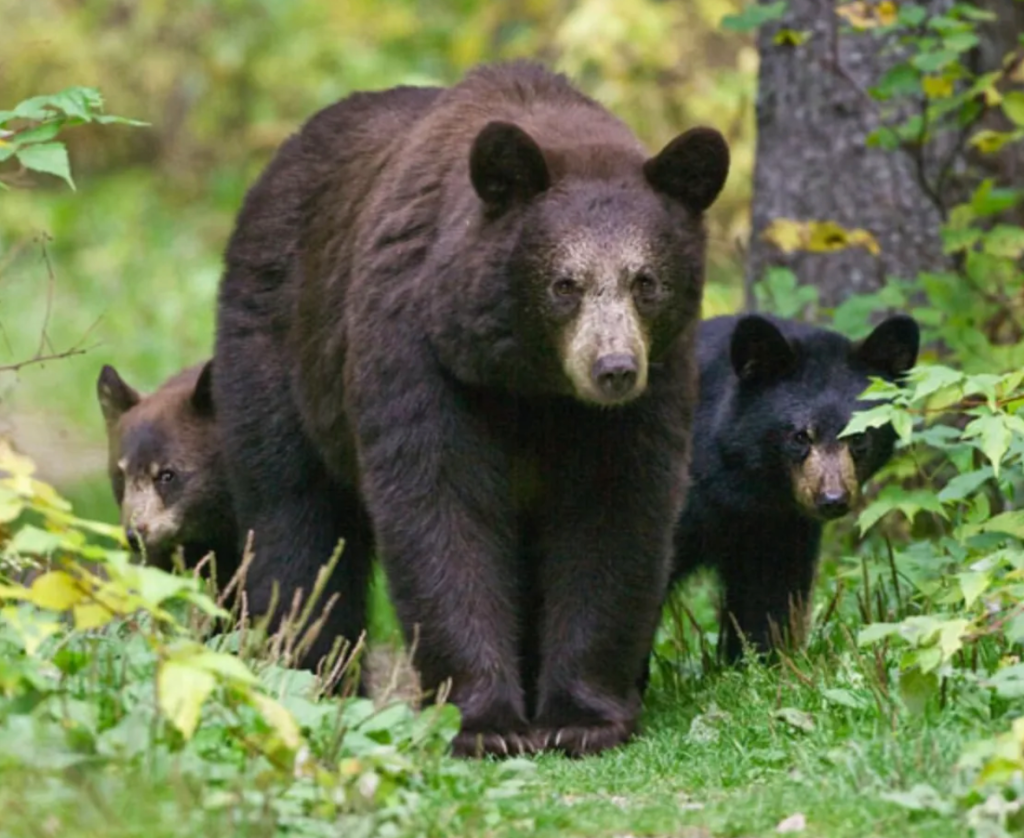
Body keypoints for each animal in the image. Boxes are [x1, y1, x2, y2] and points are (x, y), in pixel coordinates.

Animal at [213, 60, 730, 758]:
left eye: (645, 281)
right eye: (564, 283)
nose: (615, 370)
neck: (530, 385)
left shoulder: (651, 388)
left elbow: (613, 511)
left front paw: (582, 715)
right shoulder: (420, 349)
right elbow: (442, 507)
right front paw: (485, 721)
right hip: (279, 351)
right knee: (293, 518)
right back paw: (310, 675)